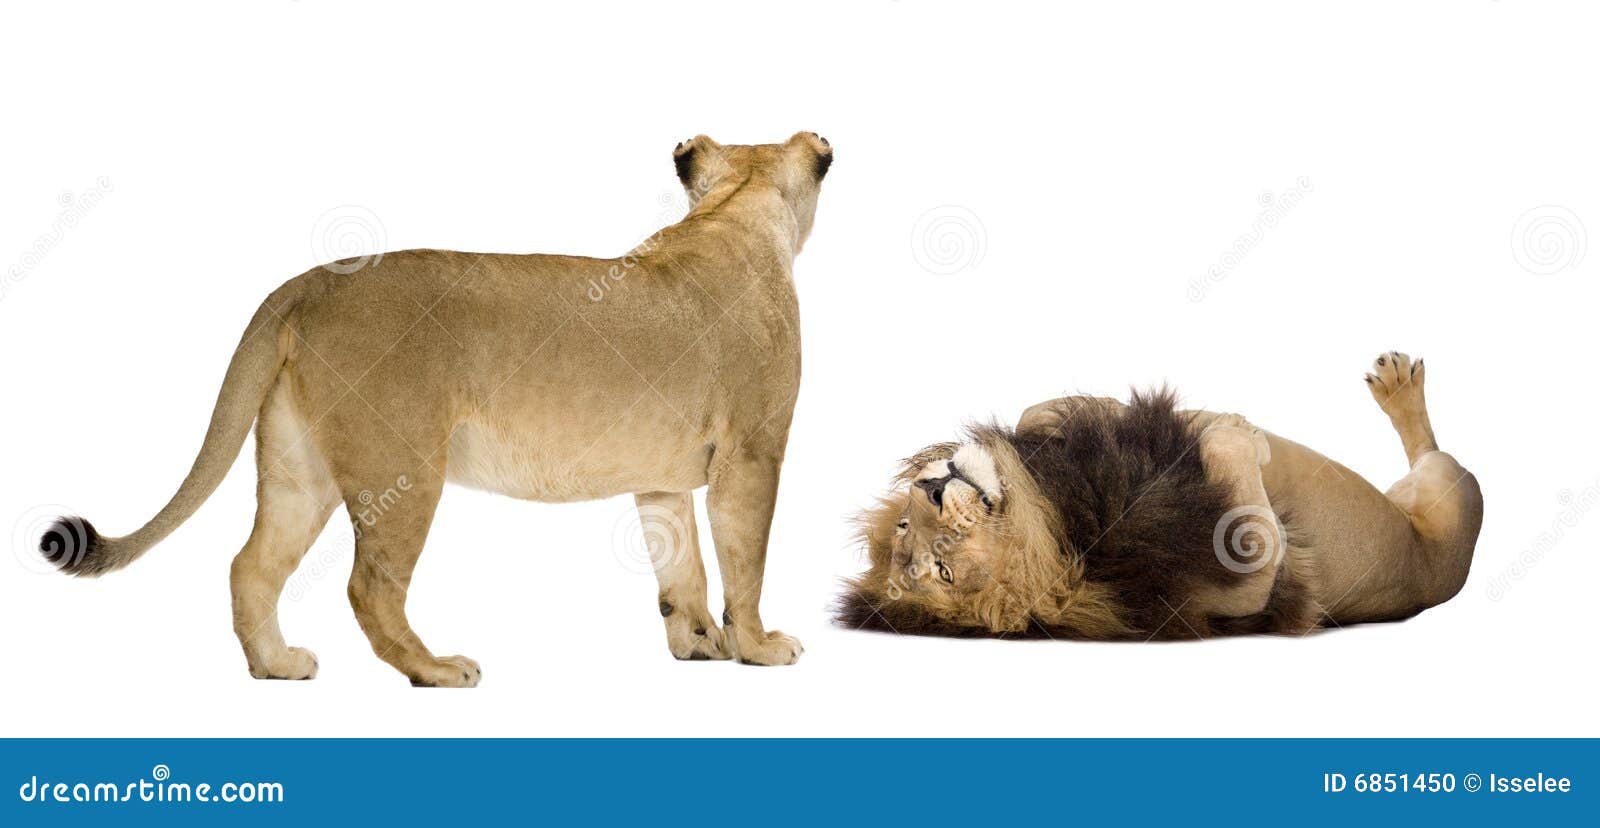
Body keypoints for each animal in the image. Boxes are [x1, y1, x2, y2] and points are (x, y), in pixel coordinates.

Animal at [38, 132, 833, 684]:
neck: (732, 215)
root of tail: (310, 281)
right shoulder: (753, 452)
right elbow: (744, 562)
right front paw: (760, 646)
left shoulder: (660, 476)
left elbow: (681, 566)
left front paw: (698, 644)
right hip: (406, 467)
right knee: (368, 587)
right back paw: (437, 669)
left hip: (301, 467)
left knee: (250, 565)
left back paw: (278, 665)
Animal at [838, 352, 1483, 640]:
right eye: (940, 572)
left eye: (905, 525)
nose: (933, 487)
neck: (1053, 520)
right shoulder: (1232, 591)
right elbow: (1257, 540)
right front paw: (1235, 430)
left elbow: (1035, 413)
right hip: (1454, 485)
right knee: (1432, 450)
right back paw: (1400, 388)